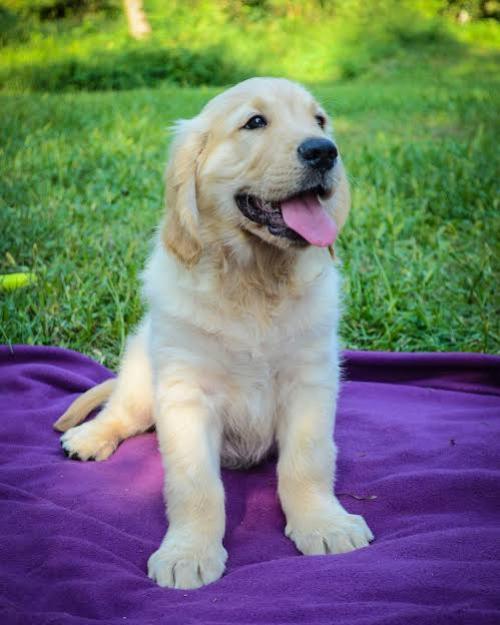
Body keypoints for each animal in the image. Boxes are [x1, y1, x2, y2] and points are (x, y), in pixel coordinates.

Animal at [56, 75, 374, 588]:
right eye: (255, 122)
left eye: (320, 120)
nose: (324, 151)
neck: (254, 281)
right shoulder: (186, 393)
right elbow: (195, 483)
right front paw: (188, 553)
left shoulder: (310, 381)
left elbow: (307, 460)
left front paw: (323, 524)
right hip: (143, 372)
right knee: (120, 411)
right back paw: (89, 437)